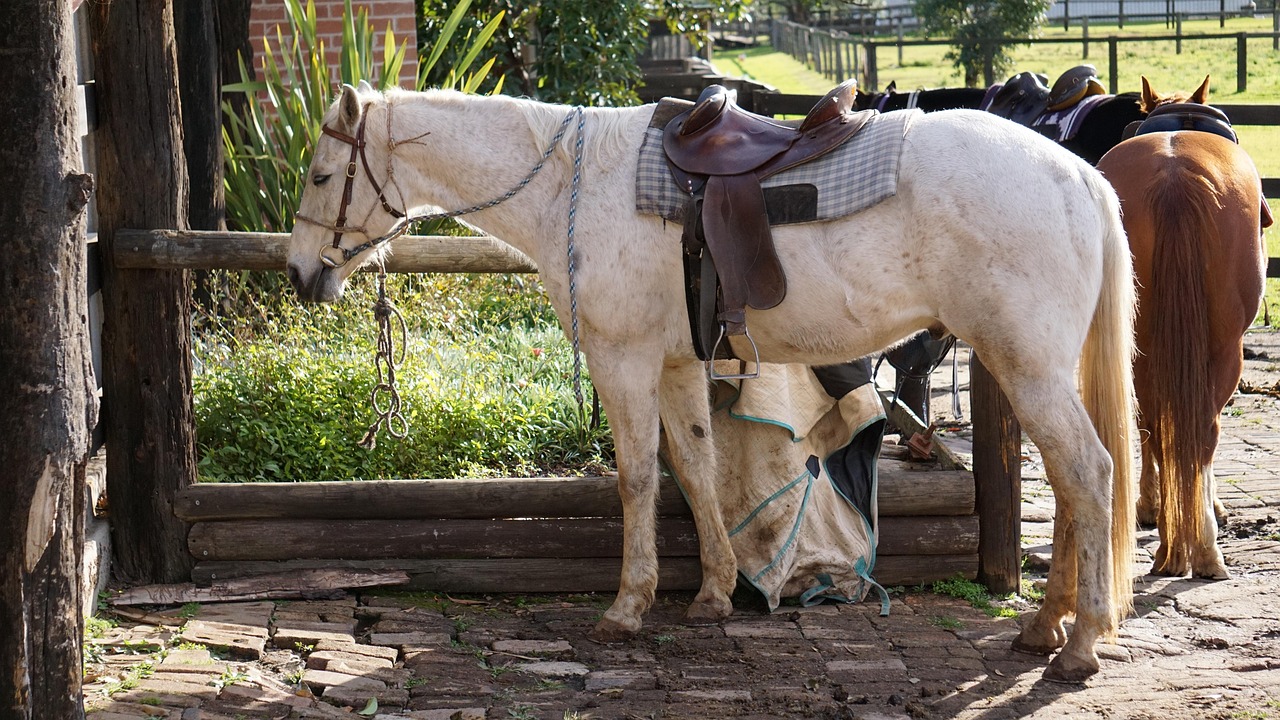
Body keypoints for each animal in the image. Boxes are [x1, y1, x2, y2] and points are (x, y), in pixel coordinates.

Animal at [286, 82, 1137, 681]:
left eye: (324, 174)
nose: (299, 275)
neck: (573, 183)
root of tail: (1080, 178)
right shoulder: (674, 364)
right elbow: (694, 470)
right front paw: (713, 593)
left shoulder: (623, 358)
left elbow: (637, 478)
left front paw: (628, 606)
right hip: (1032, 369)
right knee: (1071, 482)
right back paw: (1046, 626)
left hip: (1027, 366)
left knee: (1088, 474)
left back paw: (1079, 644)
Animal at [1096, 75, 1270, 580]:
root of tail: (1174, 179)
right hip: (1221, 346)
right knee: (1193, 429)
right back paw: (1199, 547)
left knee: (1171, 426)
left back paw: (1183, 545)